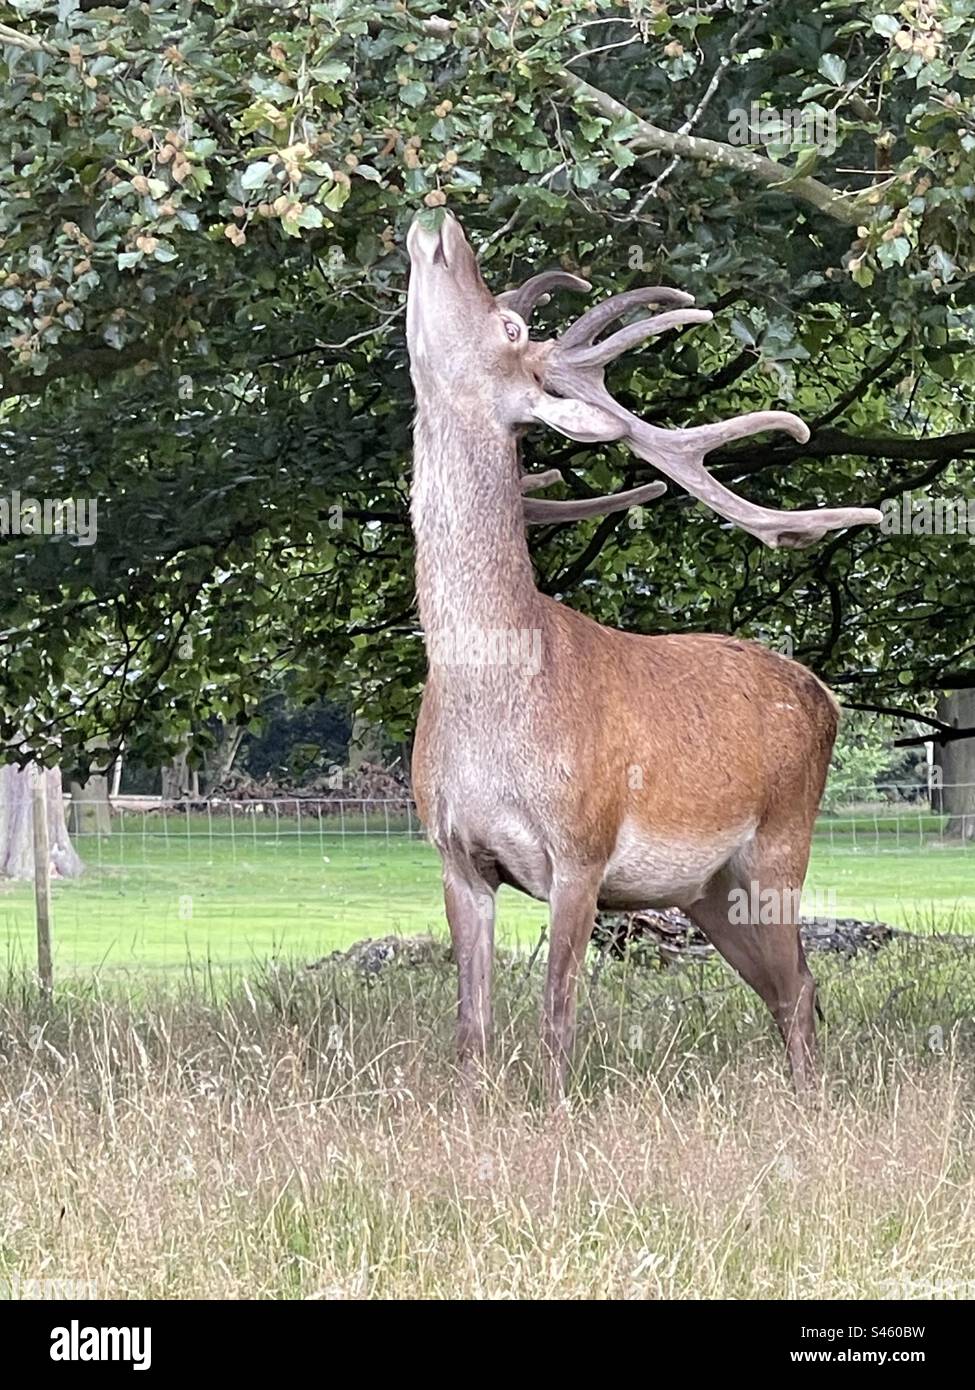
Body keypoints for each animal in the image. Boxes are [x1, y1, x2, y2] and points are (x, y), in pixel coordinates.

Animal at [405, 211, 882, 1094]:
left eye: (510, 326)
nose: (439, 219)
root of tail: (823, 692)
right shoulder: (456, 855)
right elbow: (470, 1029)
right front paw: (469, 1111)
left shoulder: (581, 847)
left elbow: (556, 1017)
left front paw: (553, 1113)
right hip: (704, 889)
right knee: (791, 983)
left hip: (781, 841)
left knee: (799, 987)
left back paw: (810, 1101)